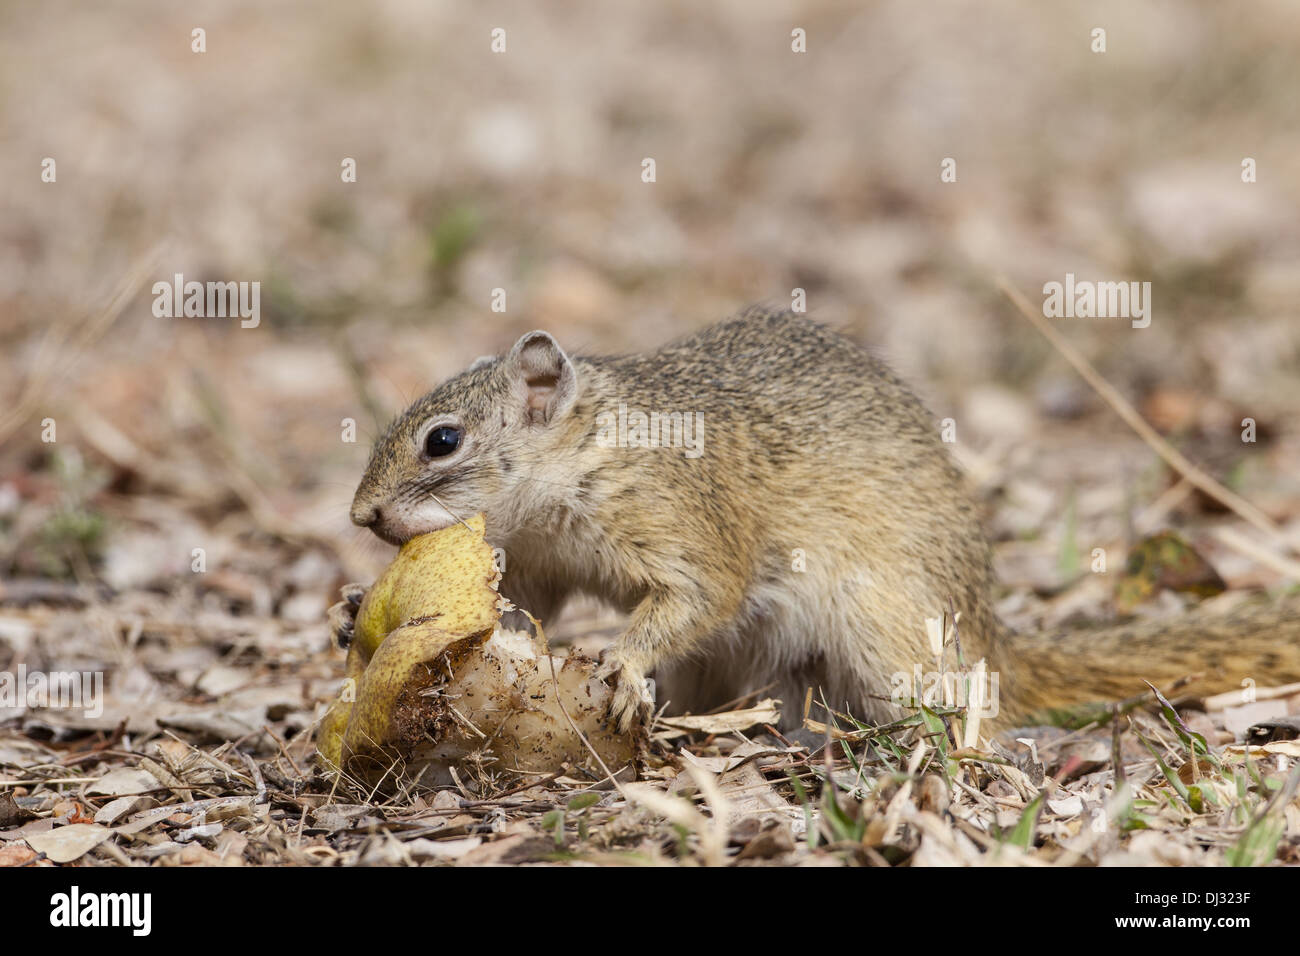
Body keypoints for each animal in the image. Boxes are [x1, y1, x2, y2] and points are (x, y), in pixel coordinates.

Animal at [344, 305, 1300, 732]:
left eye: (441, 440)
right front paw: (366, 613)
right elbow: (520, 611)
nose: (361, 516)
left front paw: (623, 664)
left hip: (882, 631)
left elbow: (700, 596)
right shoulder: (541, 560)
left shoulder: (684, 523)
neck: (589, 452)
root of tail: (989, 635)